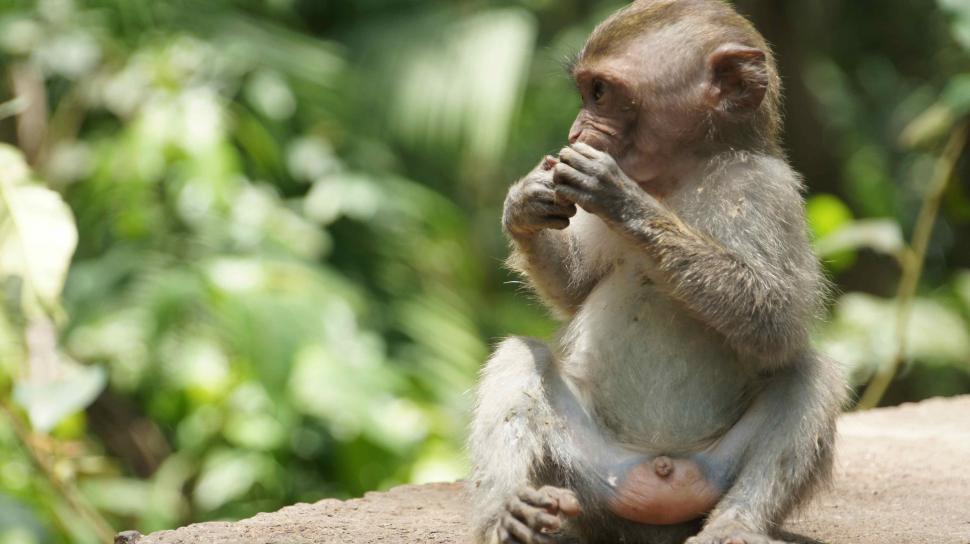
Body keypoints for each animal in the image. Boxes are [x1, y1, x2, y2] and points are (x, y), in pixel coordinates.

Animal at [467, 1, 848, 544]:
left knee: (812, 375)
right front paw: (525, 201)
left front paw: (622, 198)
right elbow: (576, 288)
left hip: (709, 472)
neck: (683, 171)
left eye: (601, 93)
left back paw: (735, 523)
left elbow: (776, 321)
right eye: (586, 90)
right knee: (519, 357)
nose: (575, 134)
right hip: (586, 477)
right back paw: (508, 512)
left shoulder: (766, 191)